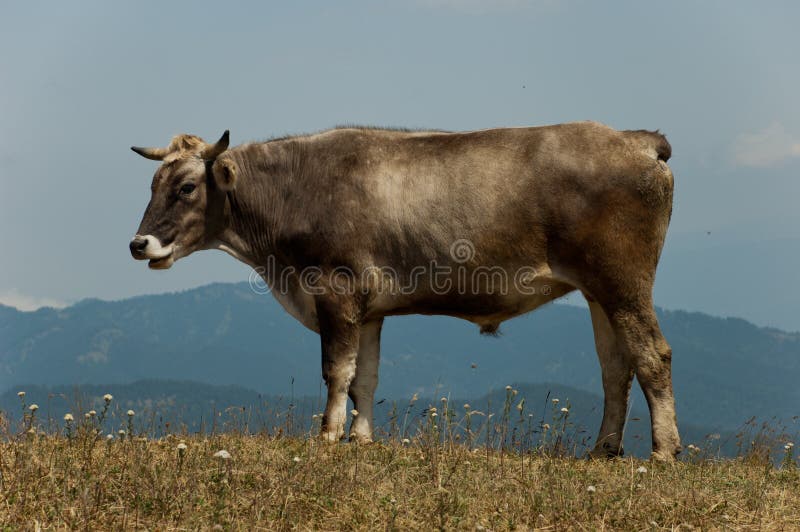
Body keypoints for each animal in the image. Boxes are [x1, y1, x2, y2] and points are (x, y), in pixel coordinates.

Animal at [129, 122, 680, 460]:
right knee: (616, 365)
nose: (139, 243)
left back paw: (662, 451)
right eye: (152, 185)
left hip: (624, 281)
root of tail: (633, 139)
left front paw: (327, 436)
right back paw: (603, 449)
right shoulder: (369, 310)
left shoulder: (335, 289)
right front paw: (362, 440)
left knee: (652, 354)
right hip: (598, 291)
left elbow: (336, 370)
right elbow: (365, 377)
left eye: (186, 188)